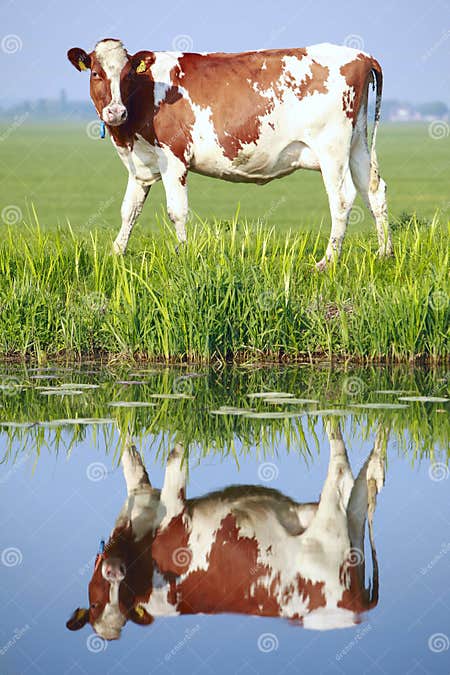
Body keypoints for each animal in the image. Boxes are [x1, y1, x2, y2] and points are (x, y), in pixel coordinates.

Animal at [66, 422, 386, 639]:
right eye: (95, 604)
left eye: (124, 598)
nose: (113, 570)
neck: (137, 537)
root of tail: (355, 609)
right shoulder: (142, 493)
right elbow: (130, 460)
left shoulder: (174, 507)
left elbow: (173, 456)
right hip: (352, 524)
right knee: (361, 483)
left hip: (329, 522)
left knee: (340, 464)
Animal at [67, 39, 393, 269]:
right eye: (96, 73)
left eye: (126, 76)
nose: (115, 111)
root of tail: (361, 56)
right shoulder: (142, 166)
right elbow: (129, 210)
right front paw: (116, 253)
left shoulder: (174, 157)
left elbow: (177, 211)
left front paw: (183, 255)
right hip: (358, 143)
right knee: (374, 191)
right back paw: (383, 253)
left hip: (331, 147)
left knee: (342, 198)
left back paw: (328, 261)